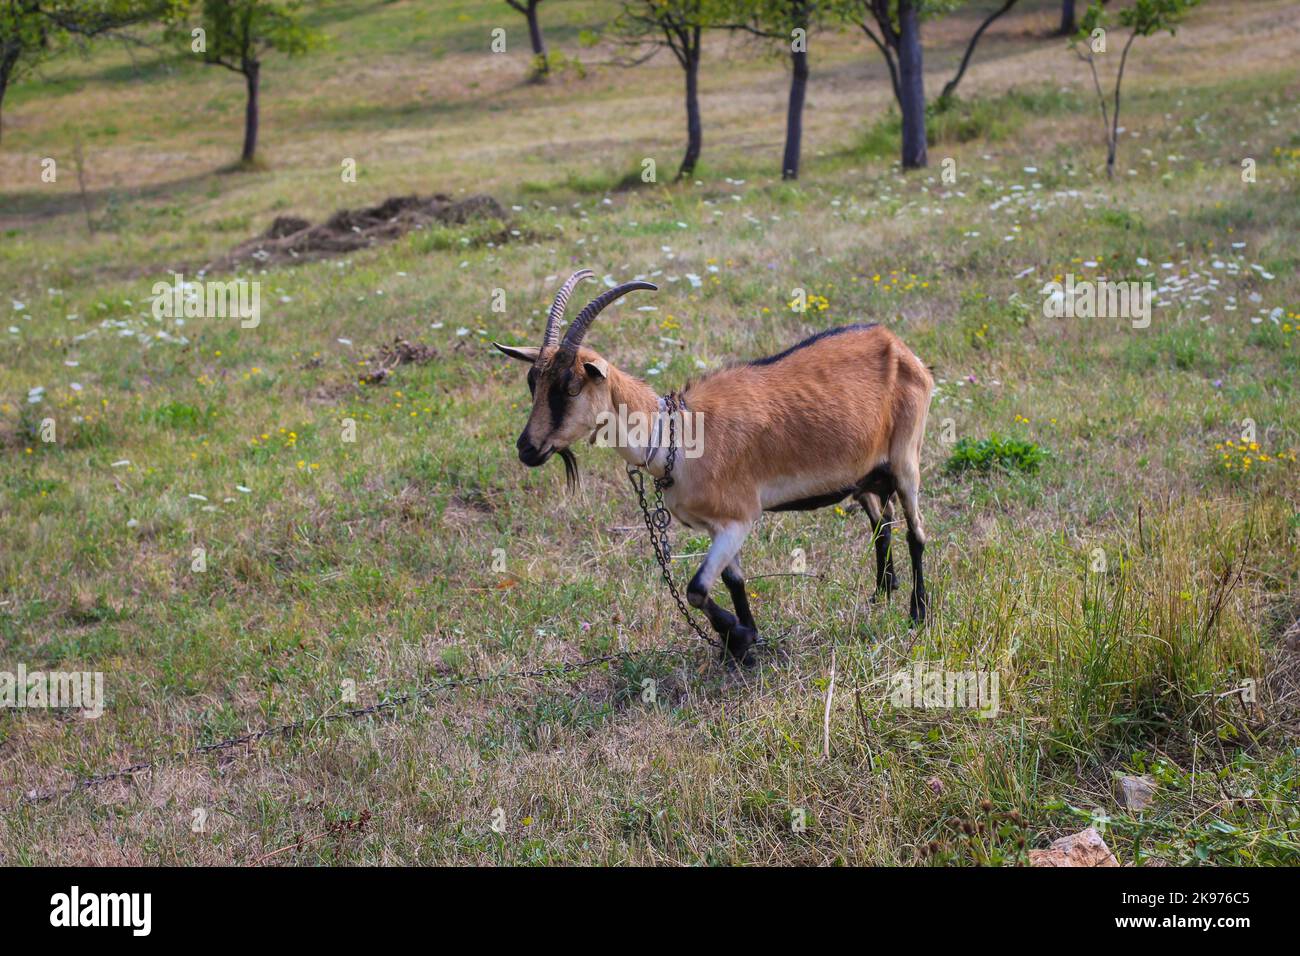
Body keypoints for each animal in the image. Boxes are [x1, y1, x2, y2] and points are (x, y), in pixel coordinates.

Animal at [494, 270, 934, 665]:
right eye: (533, 384)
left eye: (570, 387)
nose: (527, 449)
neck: (675, 435)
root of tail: (898, 346)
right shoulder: (716, 525)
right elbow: (731, 579)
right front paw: (744, 640)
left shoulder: (740, 517)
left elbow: (695, 588)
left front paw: (737, 637)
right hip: (865, 475)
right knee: (881, 522)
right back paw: (882, 592)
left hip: (906, 457)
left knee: (915, 532)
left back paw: (918, 613)